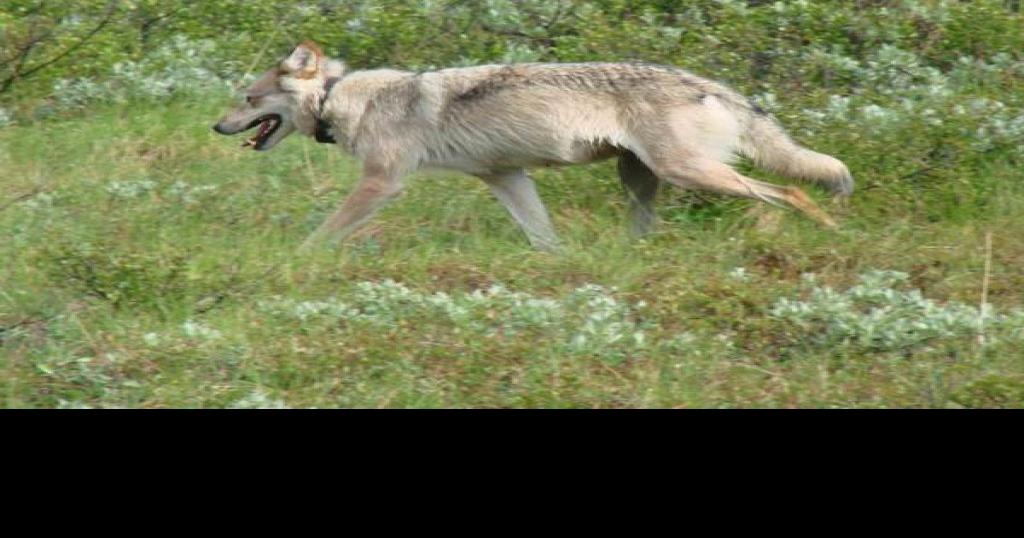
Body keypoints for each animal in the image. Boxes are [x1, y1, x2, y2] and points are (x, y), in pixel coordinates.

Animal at [213, 41, 853, 252]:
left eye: (247, 99)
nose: (216, 128)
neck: (344, 99)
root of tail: (710, 83)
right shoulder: (506, 178)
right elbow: (544, 239)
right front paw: (561, 267)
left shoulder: (382, 183)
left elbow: (321, 233)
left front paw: (293, 261)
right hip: (641, 181)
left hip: (690, 174)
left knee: (789, 195)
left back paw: (823, 234)